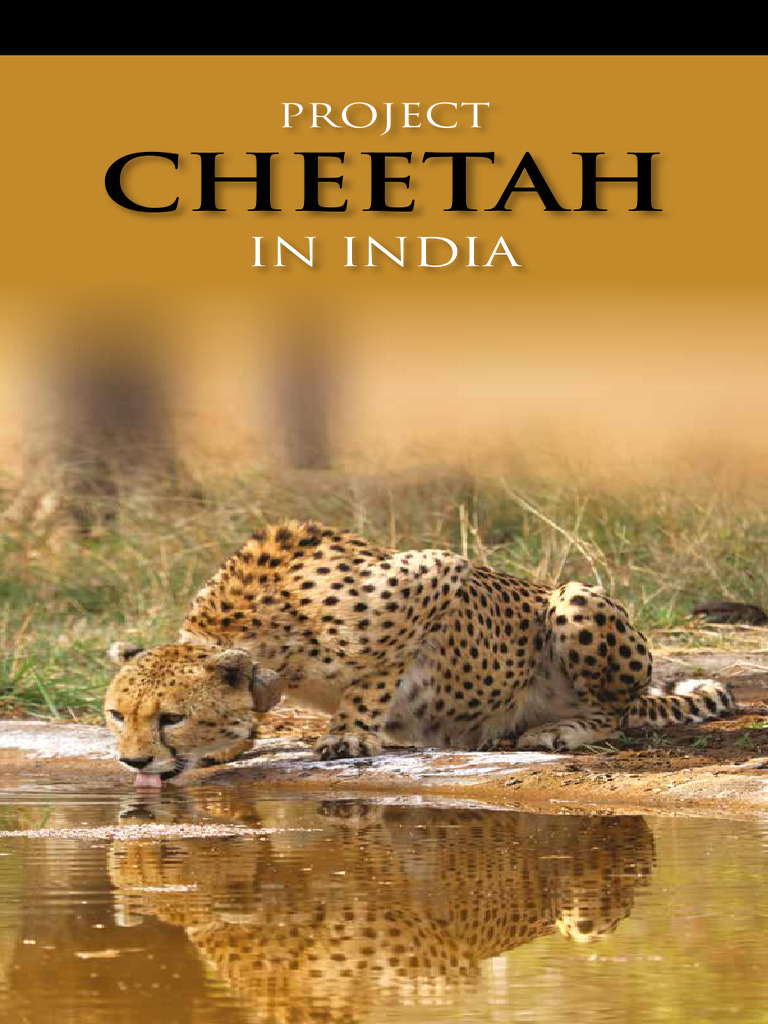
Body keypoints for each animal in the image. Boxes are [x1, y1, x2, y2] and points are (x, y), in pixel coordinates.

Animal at [104, 520, 735, 784]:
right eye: (115, 715)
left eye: (171, 717)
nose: (132, 762)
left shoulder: (438, 571)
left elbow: (377, 674)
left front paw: (350, 734)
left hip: (575, 598)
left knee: (615, 713)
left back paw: (561, 730)